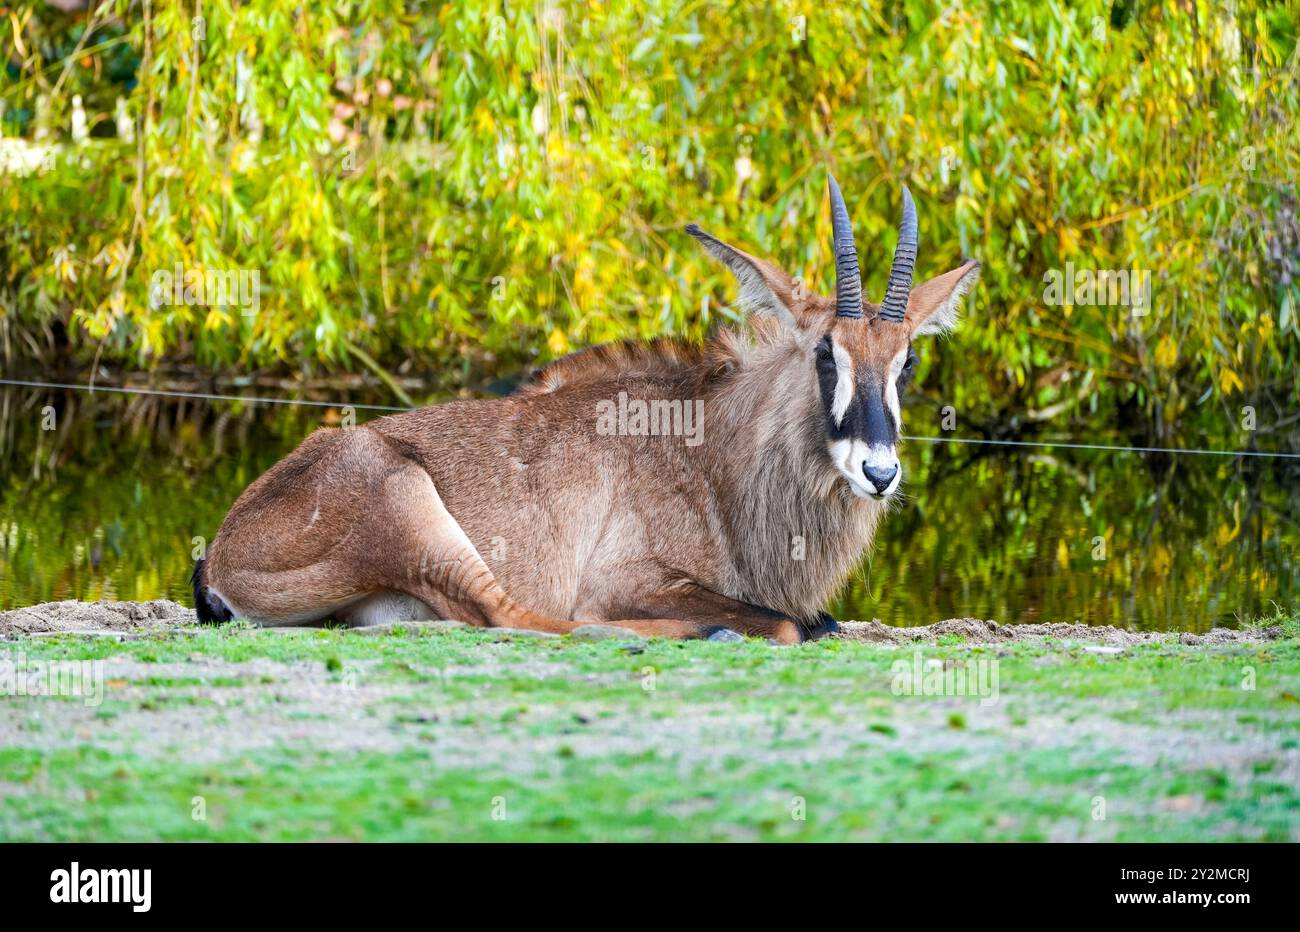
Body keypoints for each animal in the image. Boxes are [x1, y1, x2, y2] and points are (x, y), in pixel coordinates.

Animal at [193, 175, 979, 643]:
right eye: (826, 353)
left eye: (906, 361)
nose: (878, 472)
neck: (711, 451)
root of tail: (219, 551)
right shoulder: (632, 579)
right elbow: (789, 624)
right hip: (409, 505)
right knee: (521, 618)